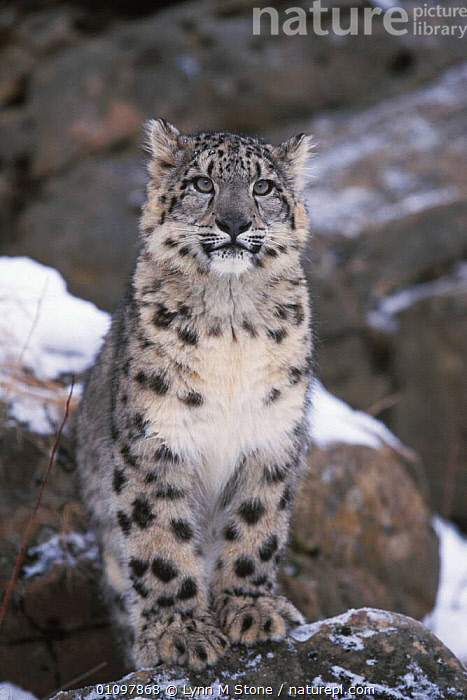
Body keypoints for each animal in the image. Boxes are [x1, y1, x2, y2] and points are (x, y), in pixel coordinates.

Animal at [75, 119, 314, 671]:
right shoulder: (157, 439)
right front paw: (179, 634)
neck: (232, 324)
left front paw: (252, 611)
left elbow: (255, 524)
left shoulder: (273, 435)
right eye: (203, 183)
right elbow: (162, 539)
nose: (234, 222)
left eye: (262, 187)